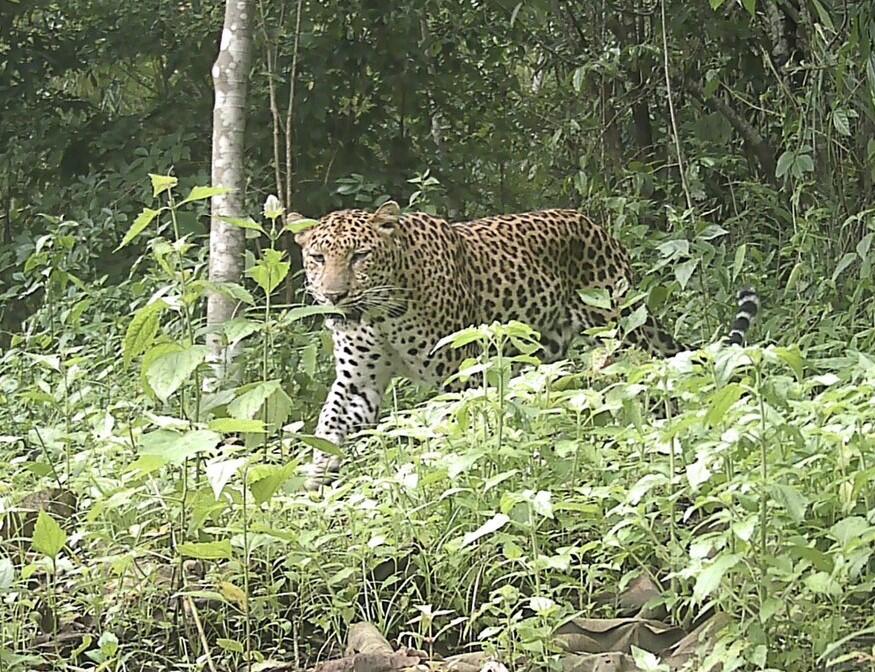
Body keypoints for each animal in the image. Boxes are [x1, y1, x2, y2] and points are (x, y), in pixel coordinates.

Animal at [291, 201, 759, 488]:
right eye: (317, 258)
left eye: (360, 257)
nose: (333, 296)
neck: (380, 312)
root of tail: (600, 230)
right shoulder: (357, 384)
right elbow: (328, 430)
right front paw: (314, 490)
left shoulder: (459, 373)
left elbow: (456, 433)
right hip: (541, 352)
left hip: (620, 331)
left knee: (651, 379)